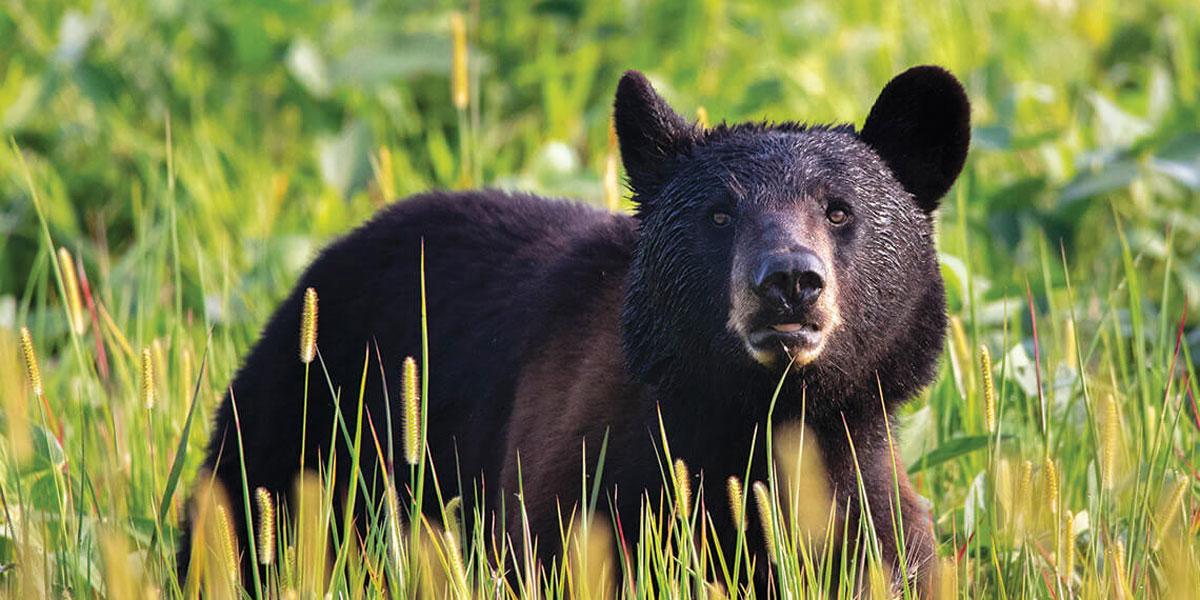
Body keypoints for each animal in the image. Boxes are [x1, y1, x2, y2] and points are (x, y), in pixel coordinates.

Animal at [178, 65, 969, 597]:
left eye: (838, 210)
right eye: (719, 213)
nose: (788, 280)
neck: (756, 418)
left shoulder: (862, 496)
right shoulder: (587, 482)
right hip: (303, 425)